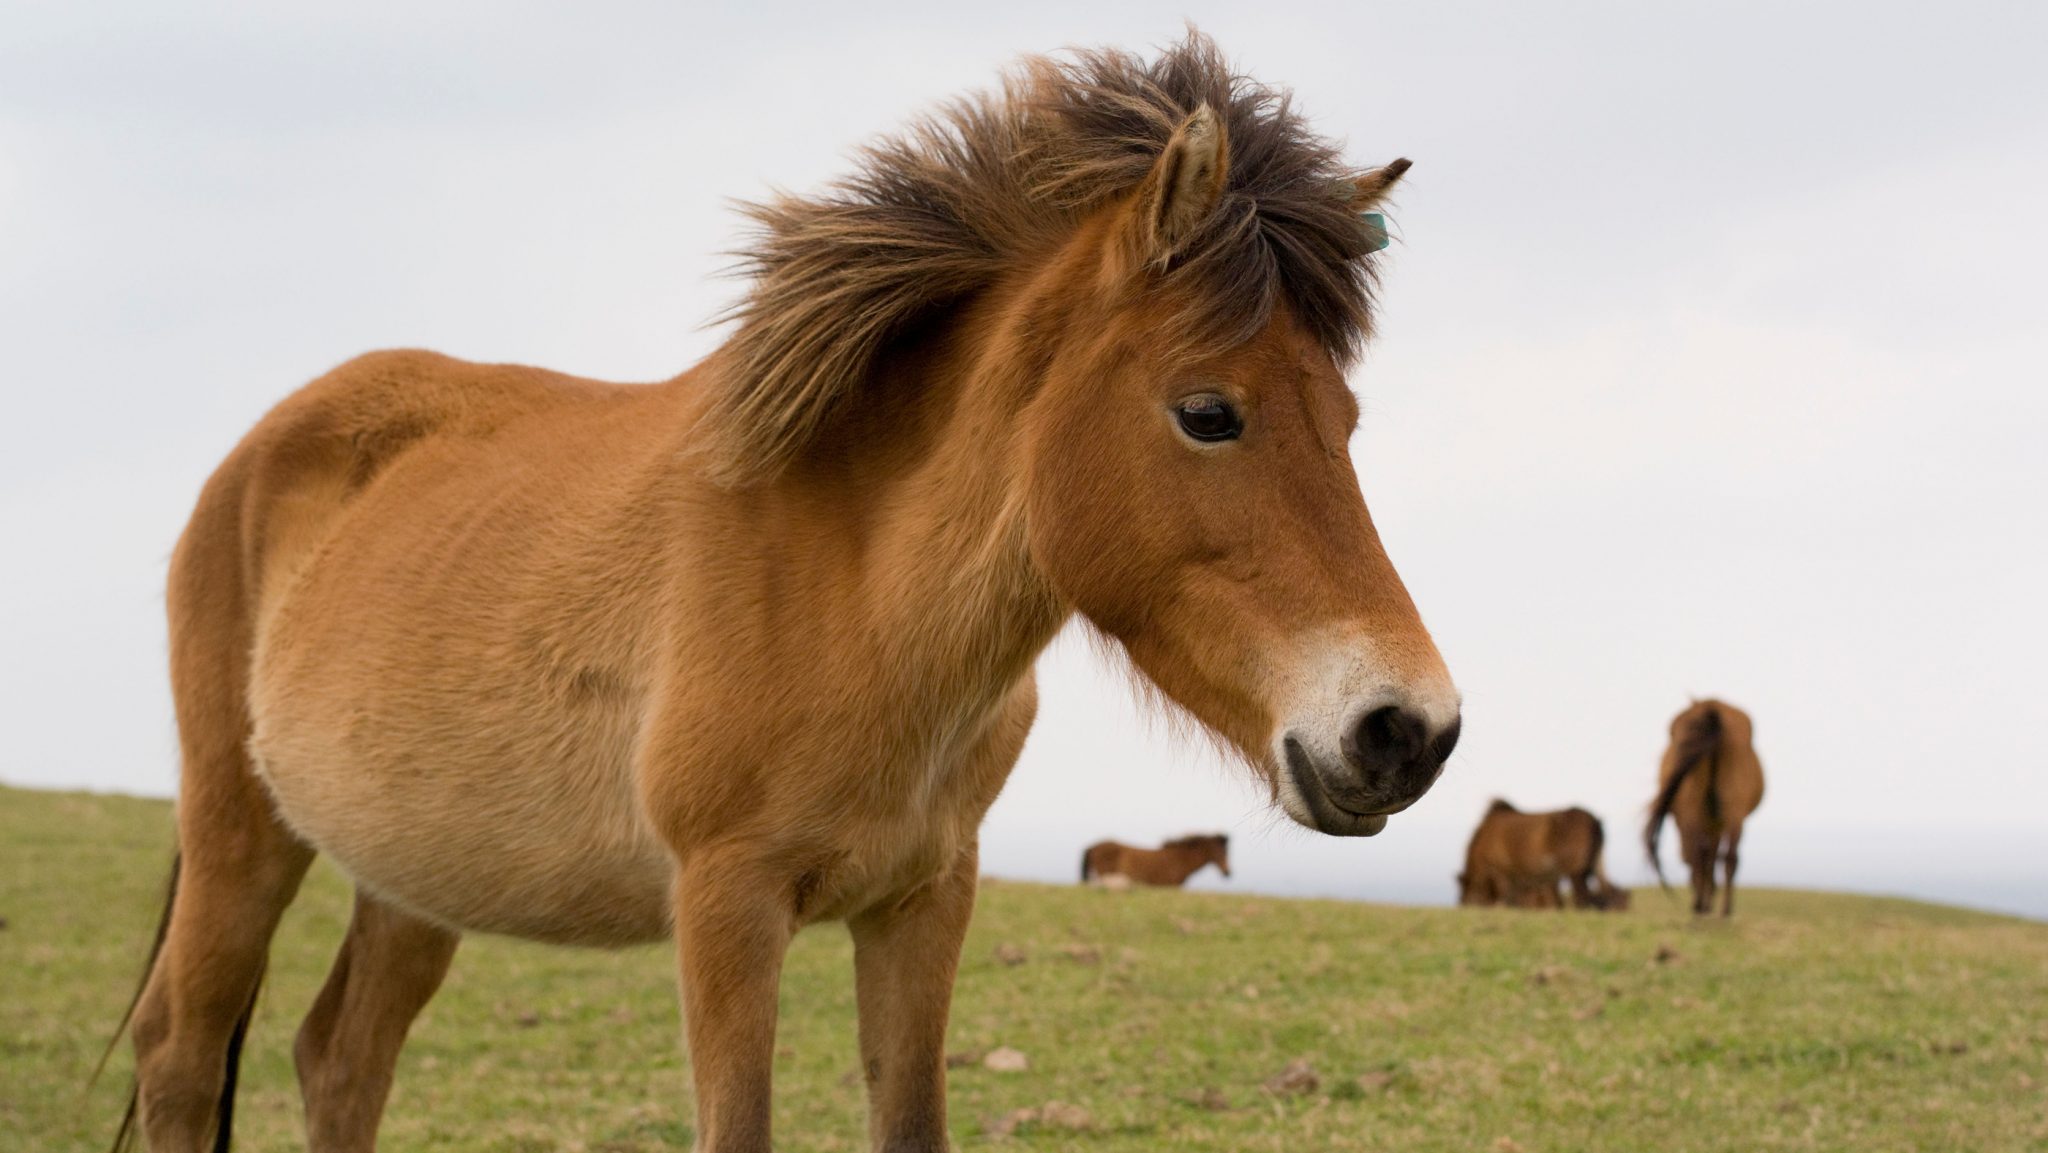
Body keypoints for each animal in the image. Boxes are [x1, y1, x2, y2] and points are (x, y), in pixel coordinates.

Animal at [1456, 801, 1617, 910]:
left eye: (1467, 896)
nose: (1462, 906)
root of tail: (1595, 821)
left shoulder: (1501, 871)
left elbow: (1507, 898)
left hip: (1576, 872)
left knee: (1583, 897)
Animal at [1645, 698, 1765, 917]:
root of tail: (1710, 707)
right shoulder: (1715, 820)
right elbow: (1712, 855)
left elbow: (1704, 854)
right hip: (1732, 806)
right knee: (1728, 857)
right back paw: (1724, 909)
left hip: (1697, 802)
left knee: (1701, 853)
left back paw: (1701, 904)